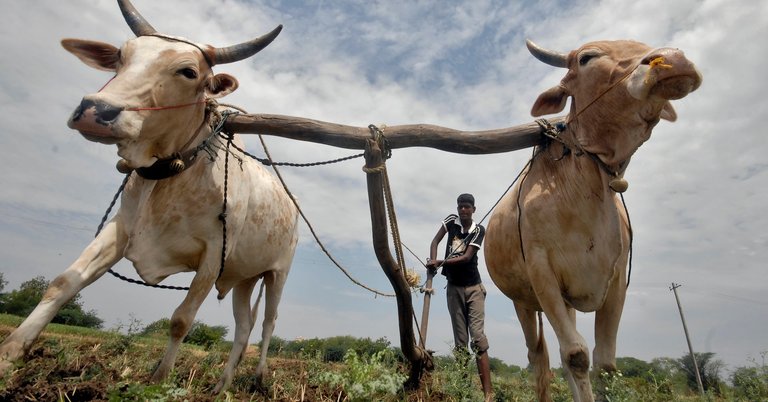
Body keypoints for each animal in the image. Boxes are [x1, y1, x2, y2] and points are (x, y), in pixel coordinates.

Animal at [0, 0, 298, 394]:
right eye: (120, 57)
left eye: (188, 71)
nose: (96, 110)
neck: (171, 171)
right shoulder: (121, 227)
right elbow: (63, 283)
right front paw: (11, 354)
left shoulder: (212, 255)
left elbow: (181, 320)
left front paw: (157, 381)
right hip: (243, 277)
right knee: (244, 326)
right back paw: (221, 385)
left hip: (277, 274)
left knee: (267, 324)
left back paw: (260, 378)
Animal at [484, 39, 701, 401]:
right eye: (586, 58)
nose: (673, 60)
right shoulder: (541, 271)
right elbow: (576, 355)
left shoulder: (616, 278)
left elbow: (605, 363)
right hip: (523, 301)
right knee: (538, 357)